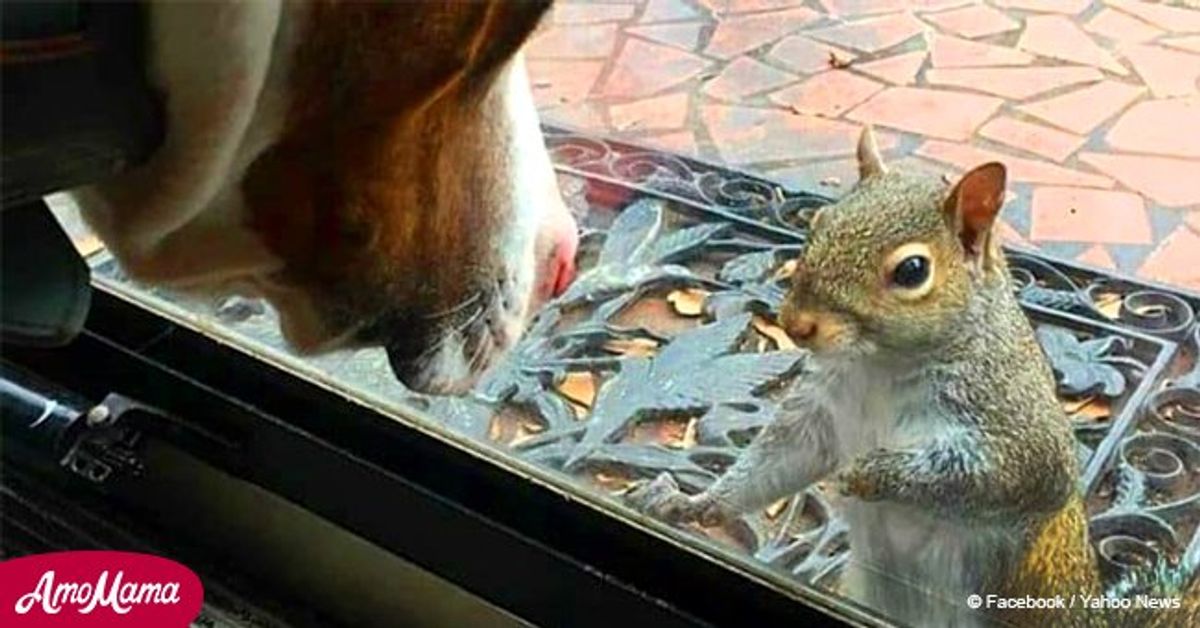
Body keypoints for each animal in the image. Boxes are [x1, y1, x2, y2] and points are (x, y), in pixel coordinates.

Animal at [625, 127, 1198, 628]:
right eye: (818, 223)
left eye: (912, 271)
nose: (796, 324)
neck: (882, 364)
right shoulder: (821, 410)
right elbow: (777, 461)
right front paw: (696, 503)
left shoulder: (1015, 421)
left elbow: (999, 474)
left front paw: (868, 472)